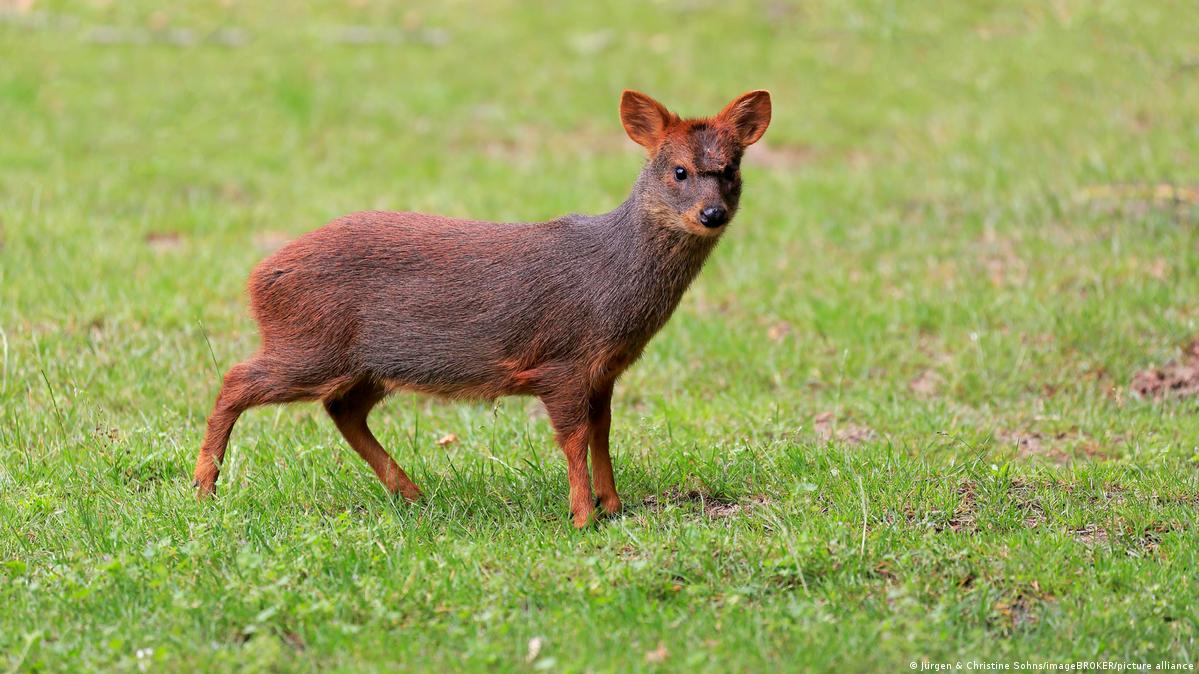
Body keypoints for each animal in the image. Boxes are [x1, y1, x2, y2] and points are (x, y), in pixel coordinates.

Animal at [192, 89, 772, 527]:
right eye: (679, 171)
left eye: (731, 169)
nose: (713, 213)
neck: (611, 279)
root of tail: (257, 278)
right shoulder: (563, 360)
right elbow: (573, 437)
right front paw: (583, 517)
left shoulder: (604, 370)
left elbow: (603, 430)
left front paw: (612, 505)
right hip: (310, 343)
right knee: (236, 379)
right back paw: (203, 487)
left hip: (367, 364)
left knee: (342, 410)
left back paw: (411, 492)